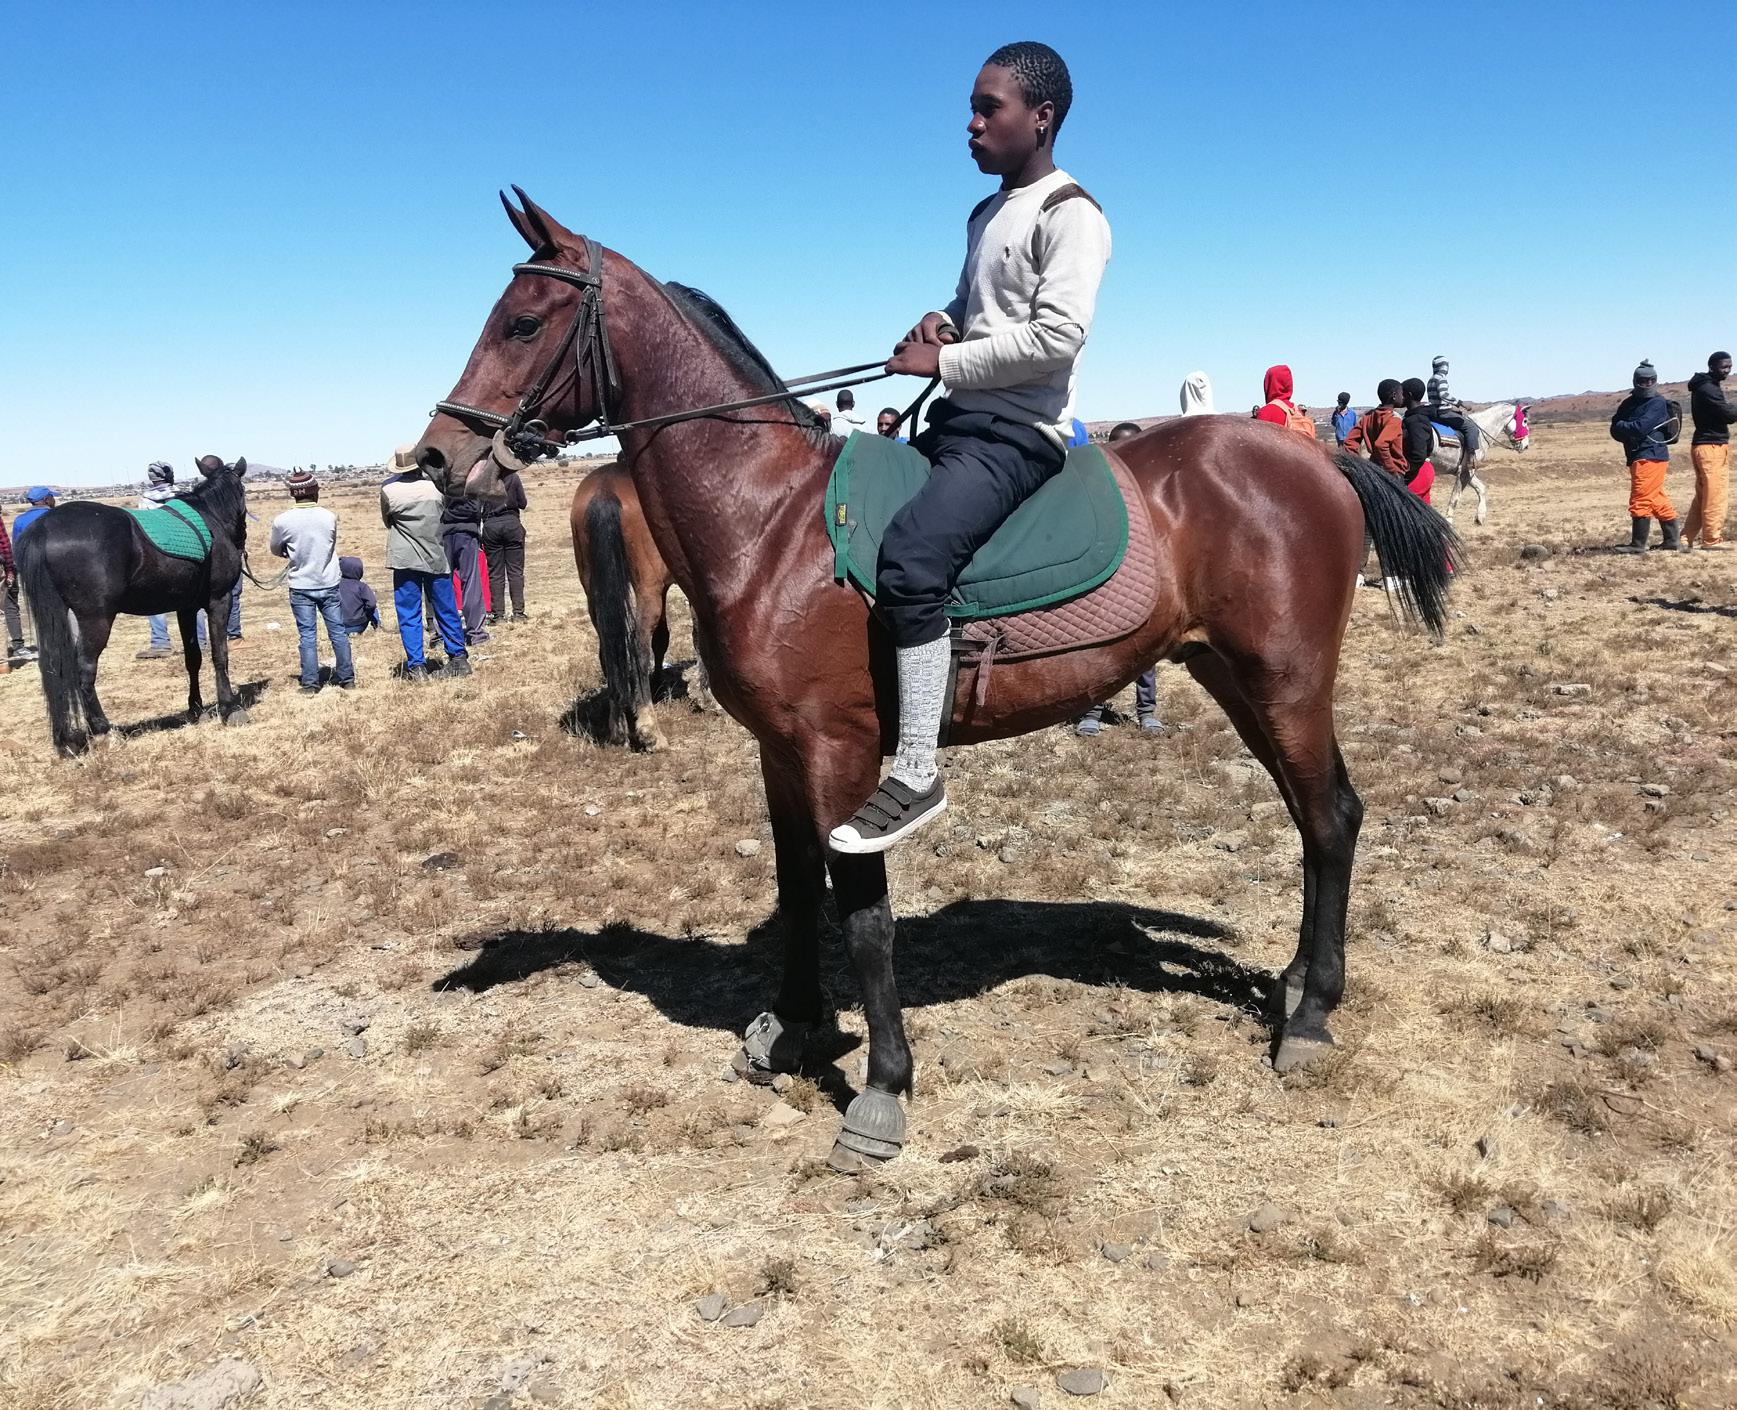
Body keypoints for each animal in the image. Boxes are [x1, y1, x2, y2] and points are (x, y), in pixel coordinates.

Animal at [16, 456, 251, 756]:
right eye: (243, 491)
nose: (241, 539)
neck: (213, 519)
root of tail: (44, 527)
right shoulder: (219, 600)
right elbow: (220, 654)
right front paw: (229, 707)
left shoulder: (185, 608)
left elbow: (193, 659)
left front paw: (195, 708)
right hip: (96, 619)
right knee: (84, 668)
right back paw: (103, 730)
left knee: (56, 668)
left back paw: (68, 739)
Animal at [569, 462, 715, 750]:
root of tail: (605, 488)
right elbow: (696, 634)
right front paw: (708, 697)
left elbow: (662, 637)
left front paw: (657, 683)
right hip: (646, 589)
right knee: (638, 646)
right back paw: (650, 729)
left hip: (595, 593)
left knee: (610, 648)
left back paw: (619, 727)